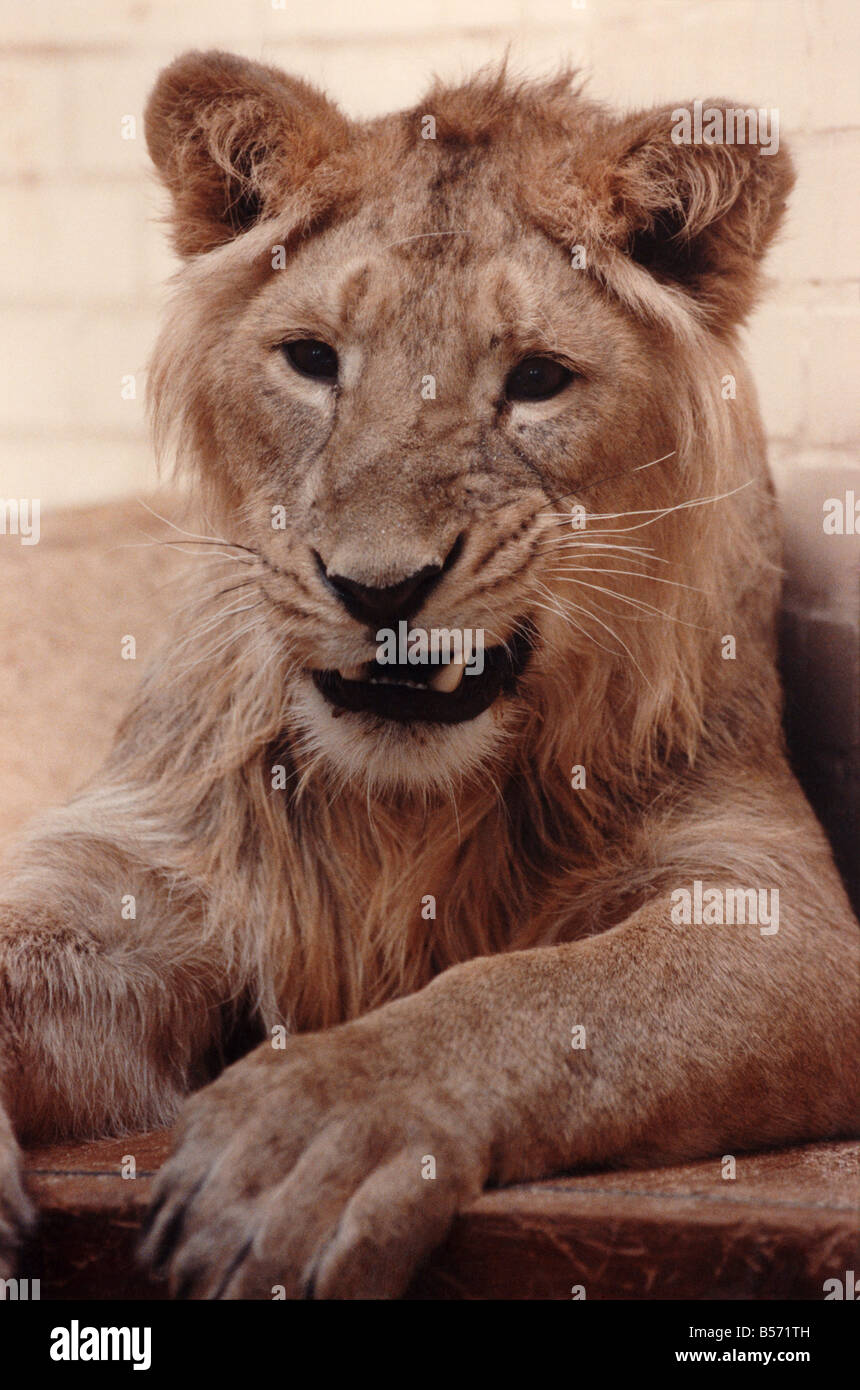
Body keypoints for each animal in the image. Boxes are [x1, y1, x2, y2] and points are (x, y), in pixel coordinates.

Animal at [0, 51, 857, 1301]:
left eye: (537, 379)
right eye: (311, 360)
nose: (378, 588)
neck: (403, 811)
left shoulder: (776, 904)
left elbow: (540, 992)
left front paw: (316, 1125)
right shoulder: (131, 875)